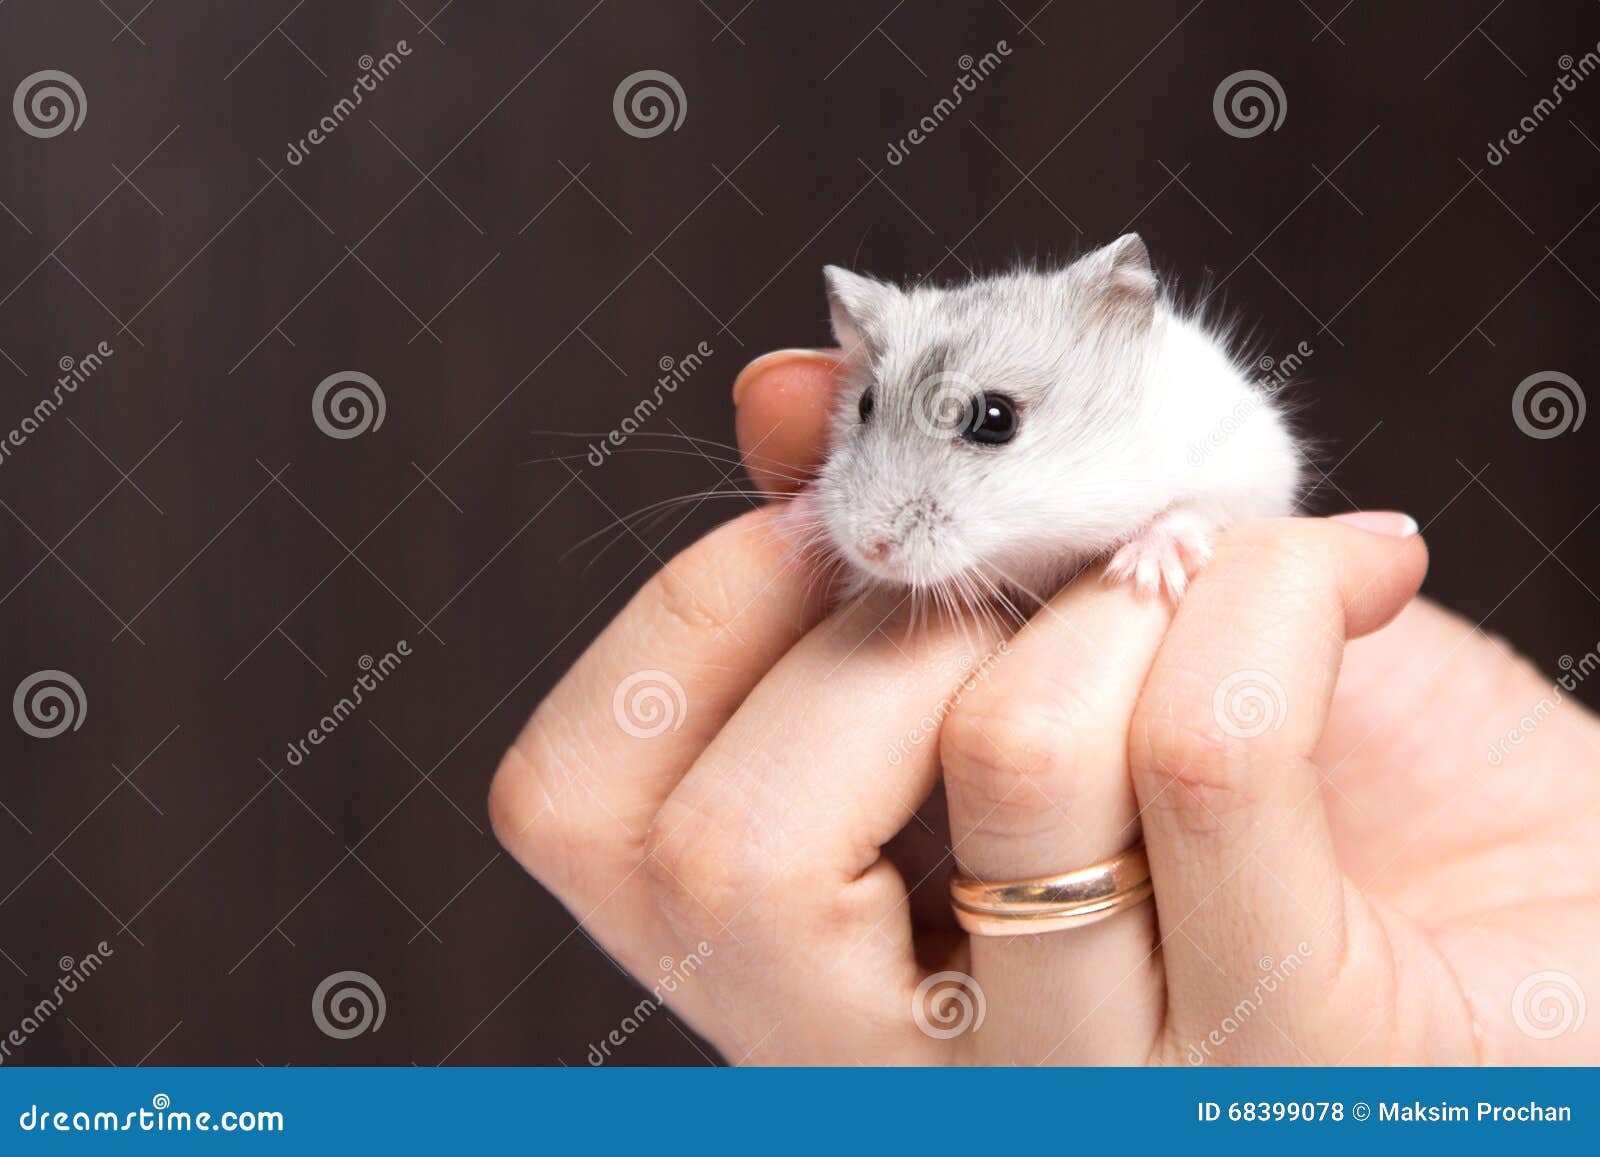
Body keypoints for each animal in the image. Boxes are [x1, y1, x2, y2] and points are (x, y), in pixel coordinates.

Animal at [791, 234, 1301, 609]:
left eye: (995, 419)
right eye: (865, 404)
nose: (868, 549)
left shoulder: (1252, 464)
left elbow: (1192, 508)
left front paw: (1141, 574)